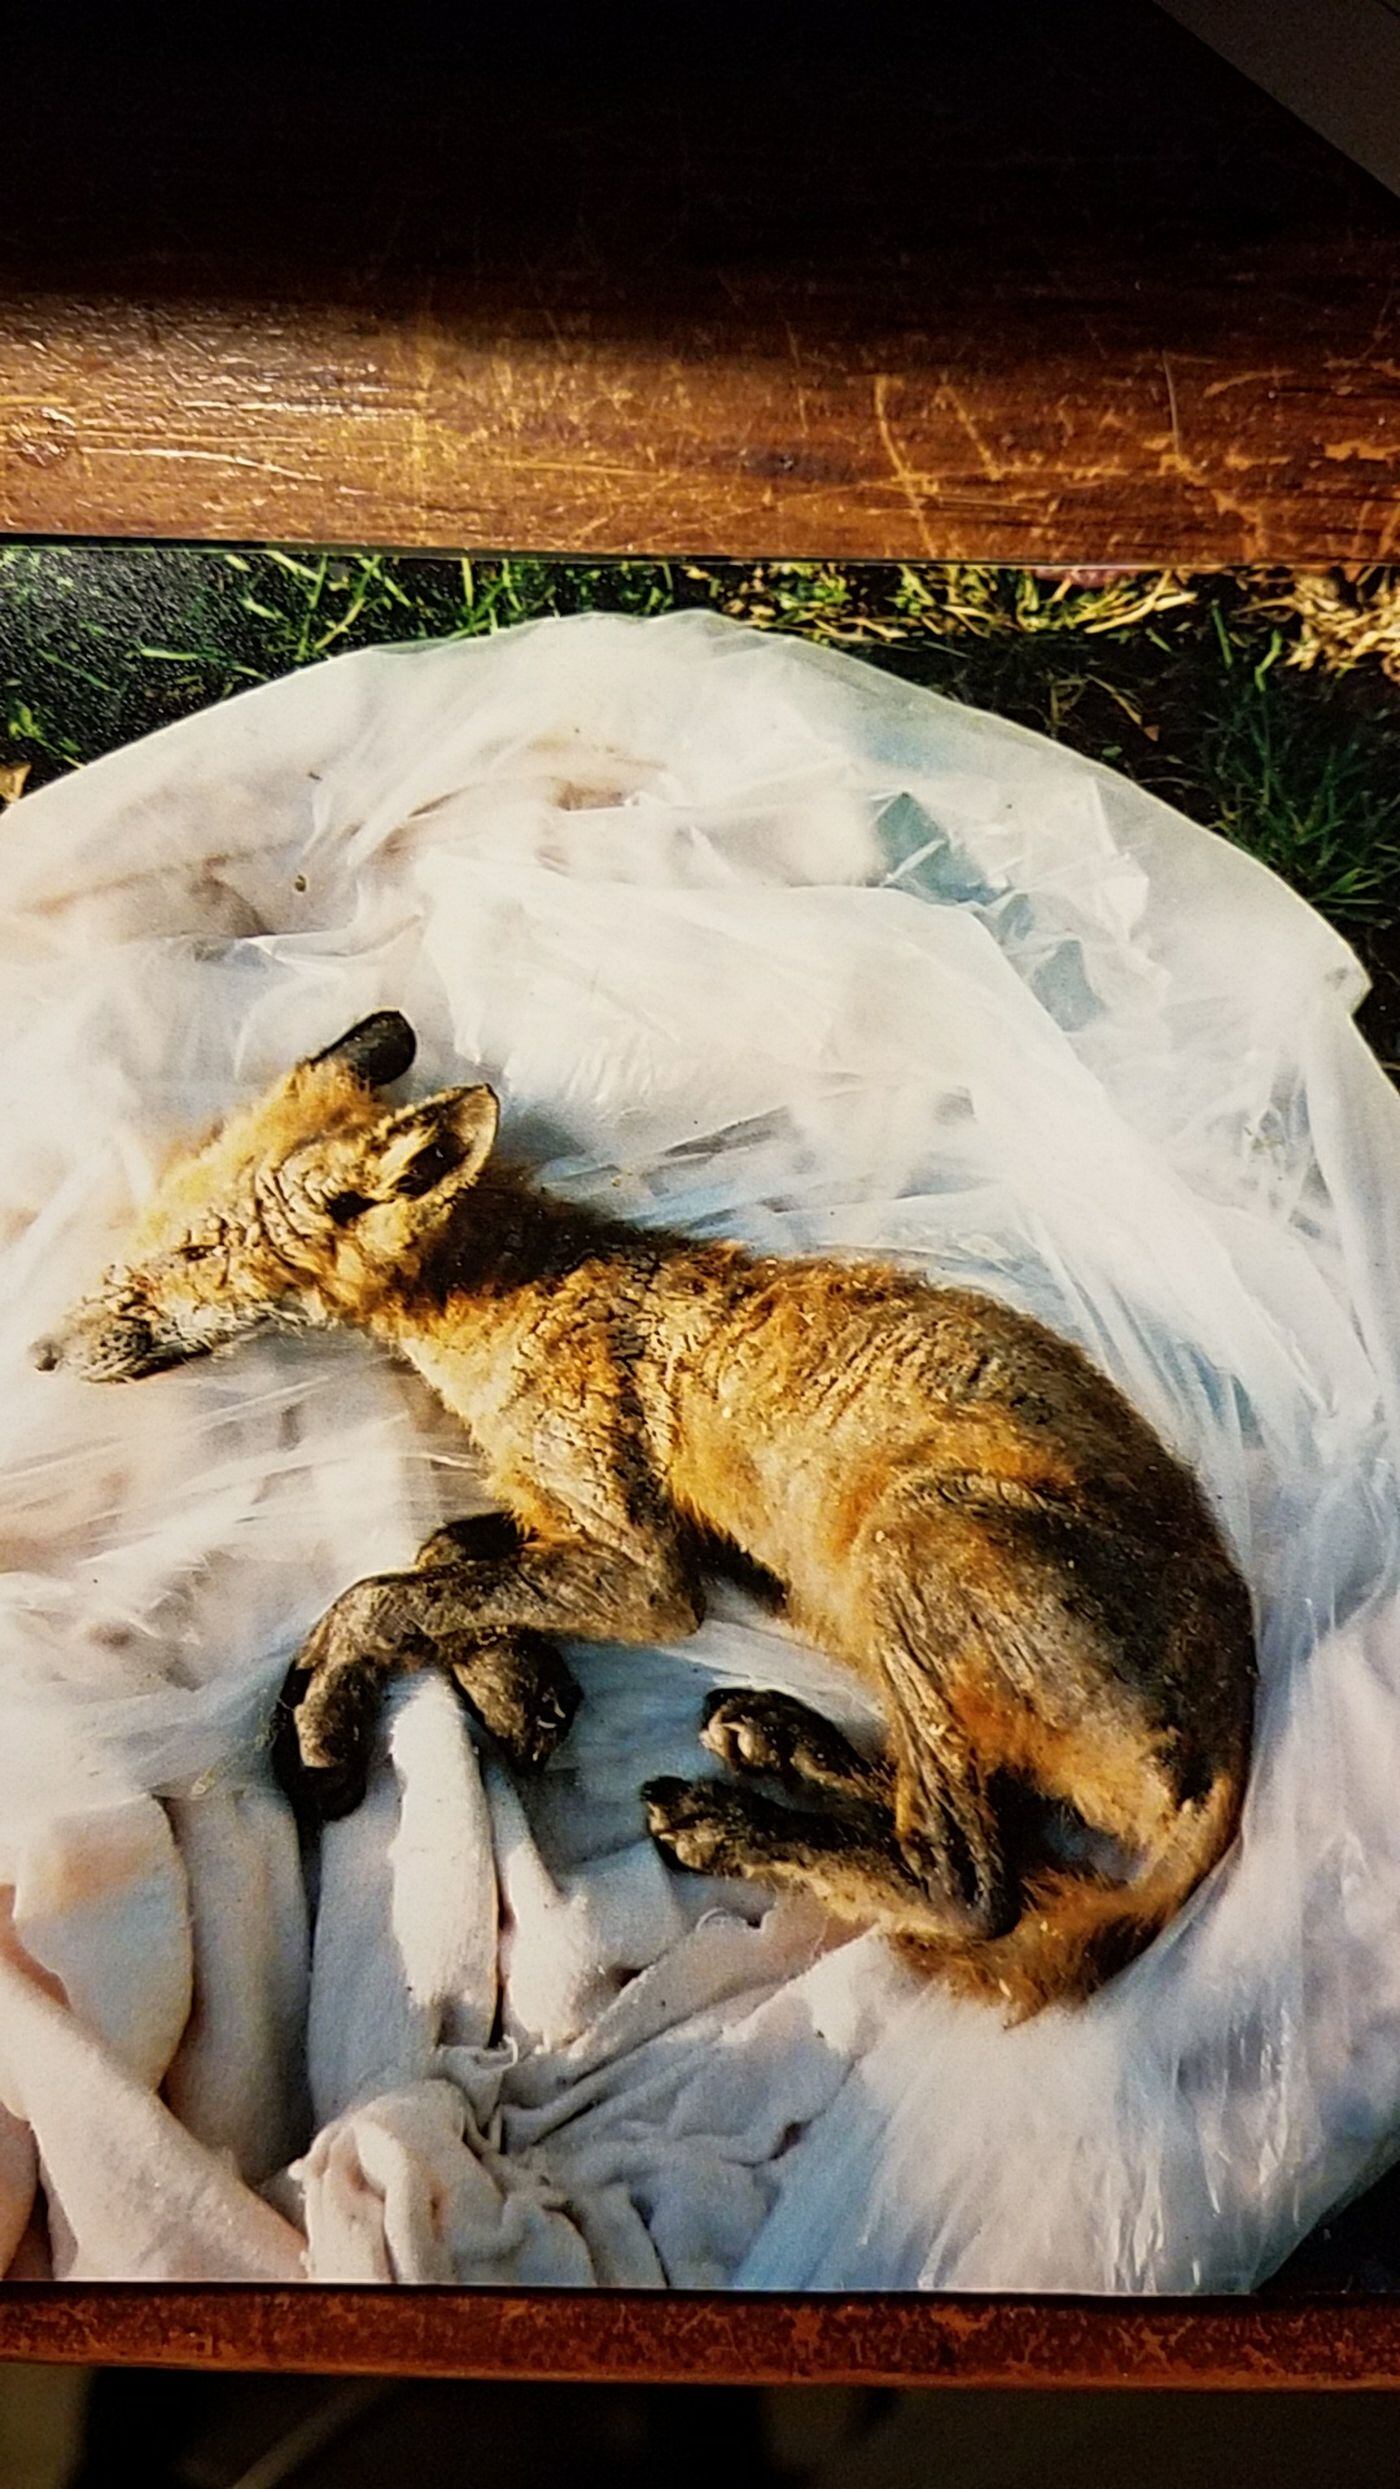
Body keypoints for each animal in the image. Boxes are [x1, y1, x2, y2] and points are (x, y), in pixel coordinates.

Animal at [35, 1009, 1256, 2018]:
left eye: (196, 1251)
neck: (511, 1297)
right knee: (957, 1818)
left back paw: (740, 1823)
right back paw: (785, 1744)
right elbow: (441, 1558)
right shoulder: (575, 1518)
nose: (39, 1354)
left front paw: (323, 1722)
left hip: (907, 1543)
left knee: (973, 1889)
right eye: (152, 1225)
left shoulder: (651, 1570)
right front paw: (512, 1682)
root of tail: (1236, 1726)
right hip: (873, 1621)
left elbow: (381, 1594)